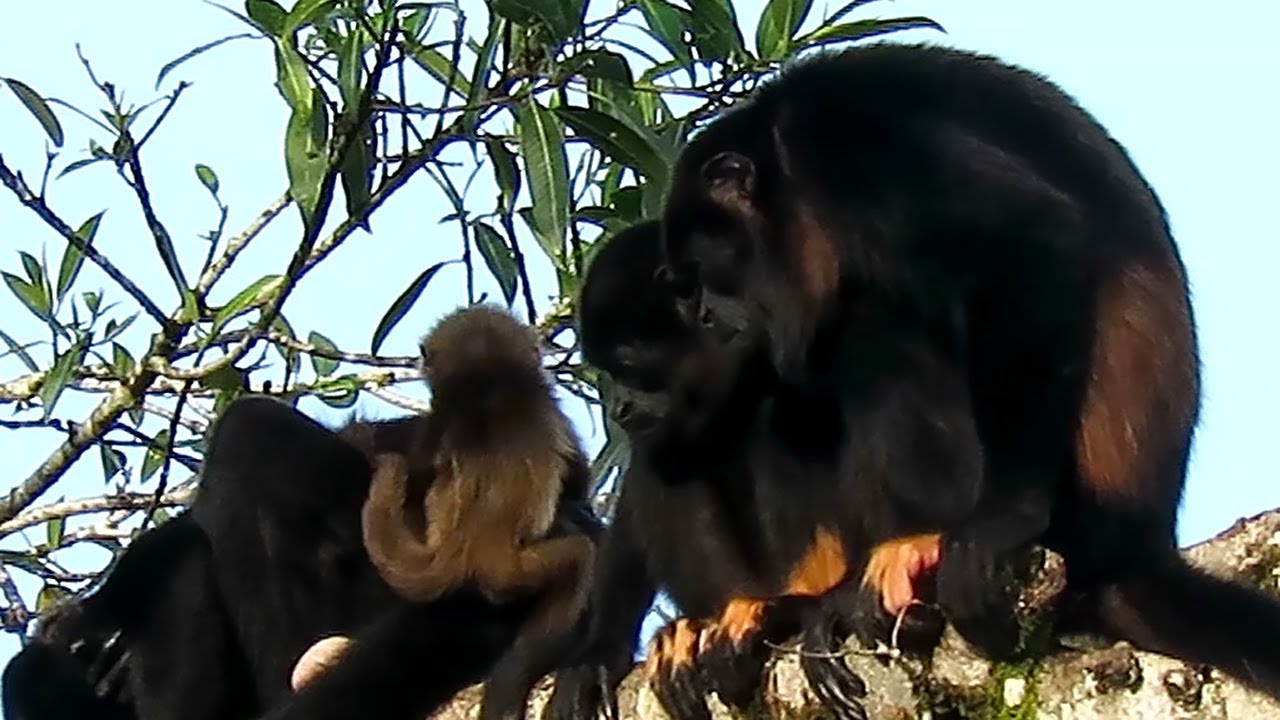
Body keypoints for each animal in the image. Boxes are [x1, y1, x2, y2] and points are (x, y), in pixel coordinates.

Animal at [353, 304, 598, 720]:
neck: (486, 377)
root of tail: (461, 551)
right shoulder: (552, 411)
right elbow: (578, 479)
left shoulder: (437, 418)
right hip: (511, 573)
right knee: (581, 557)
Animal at [656, 41, 1280, 698]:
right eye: (685, 287)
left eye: (702, 271)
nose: (704, 313)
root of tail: (1140, 540)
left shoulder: (854, 151)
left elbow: (1034, 243)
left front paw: (1004, 520)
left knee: (872, 328)